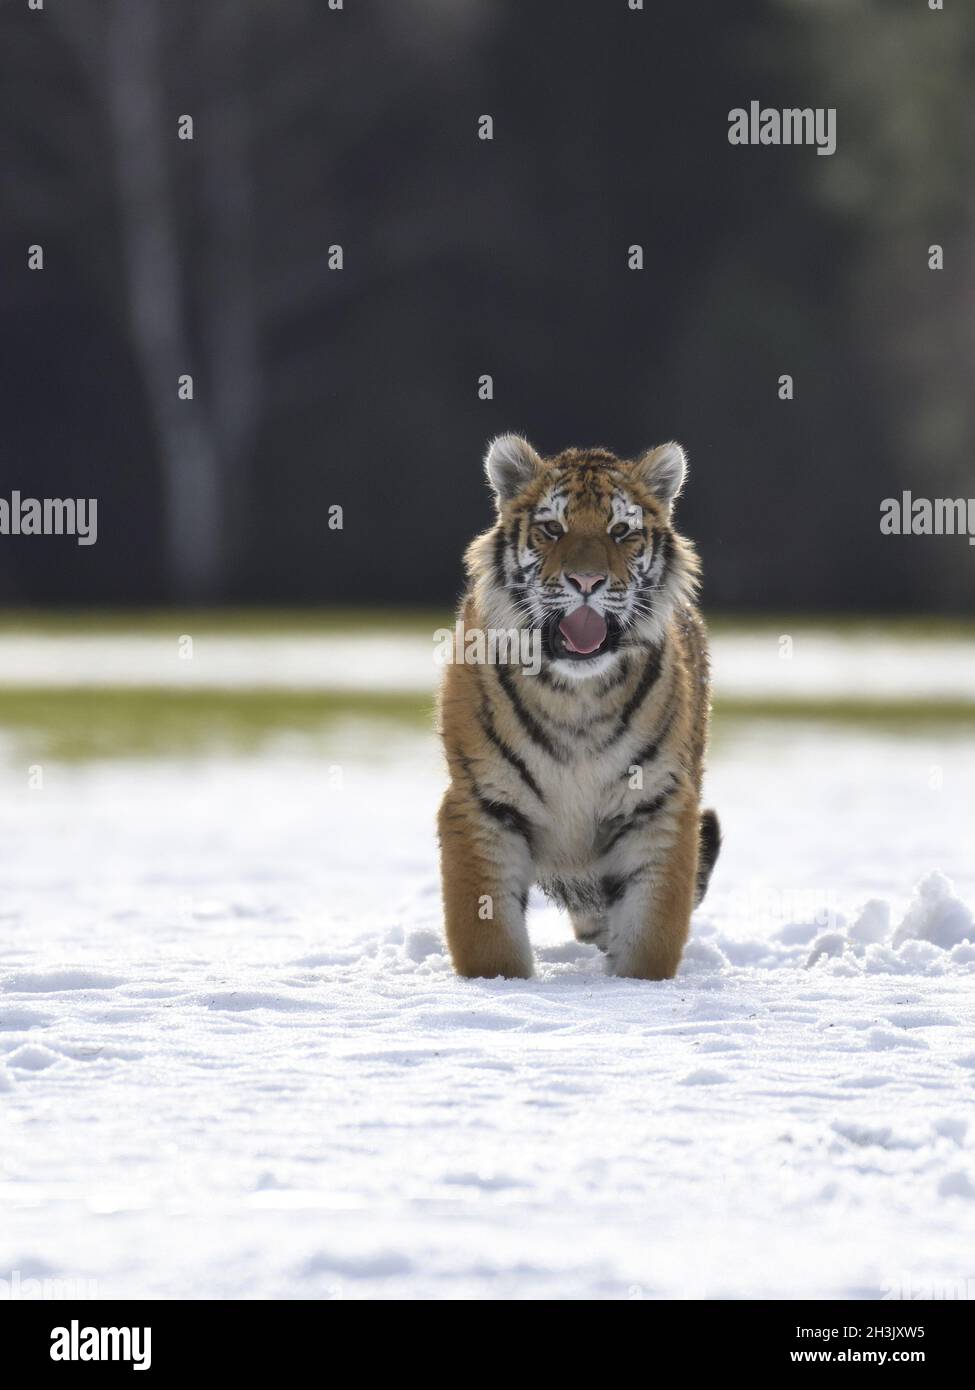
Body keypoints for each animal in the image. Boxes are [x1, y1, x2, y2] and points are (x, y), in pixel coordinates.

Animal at [436, 433, 720, 981]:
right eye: (552, 528)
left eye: (620, 531)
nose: (586, 582)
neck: (576, 694)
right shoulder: (483, 803)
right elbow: (488, 939)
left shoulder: (656, 805)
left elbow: (650, 935)